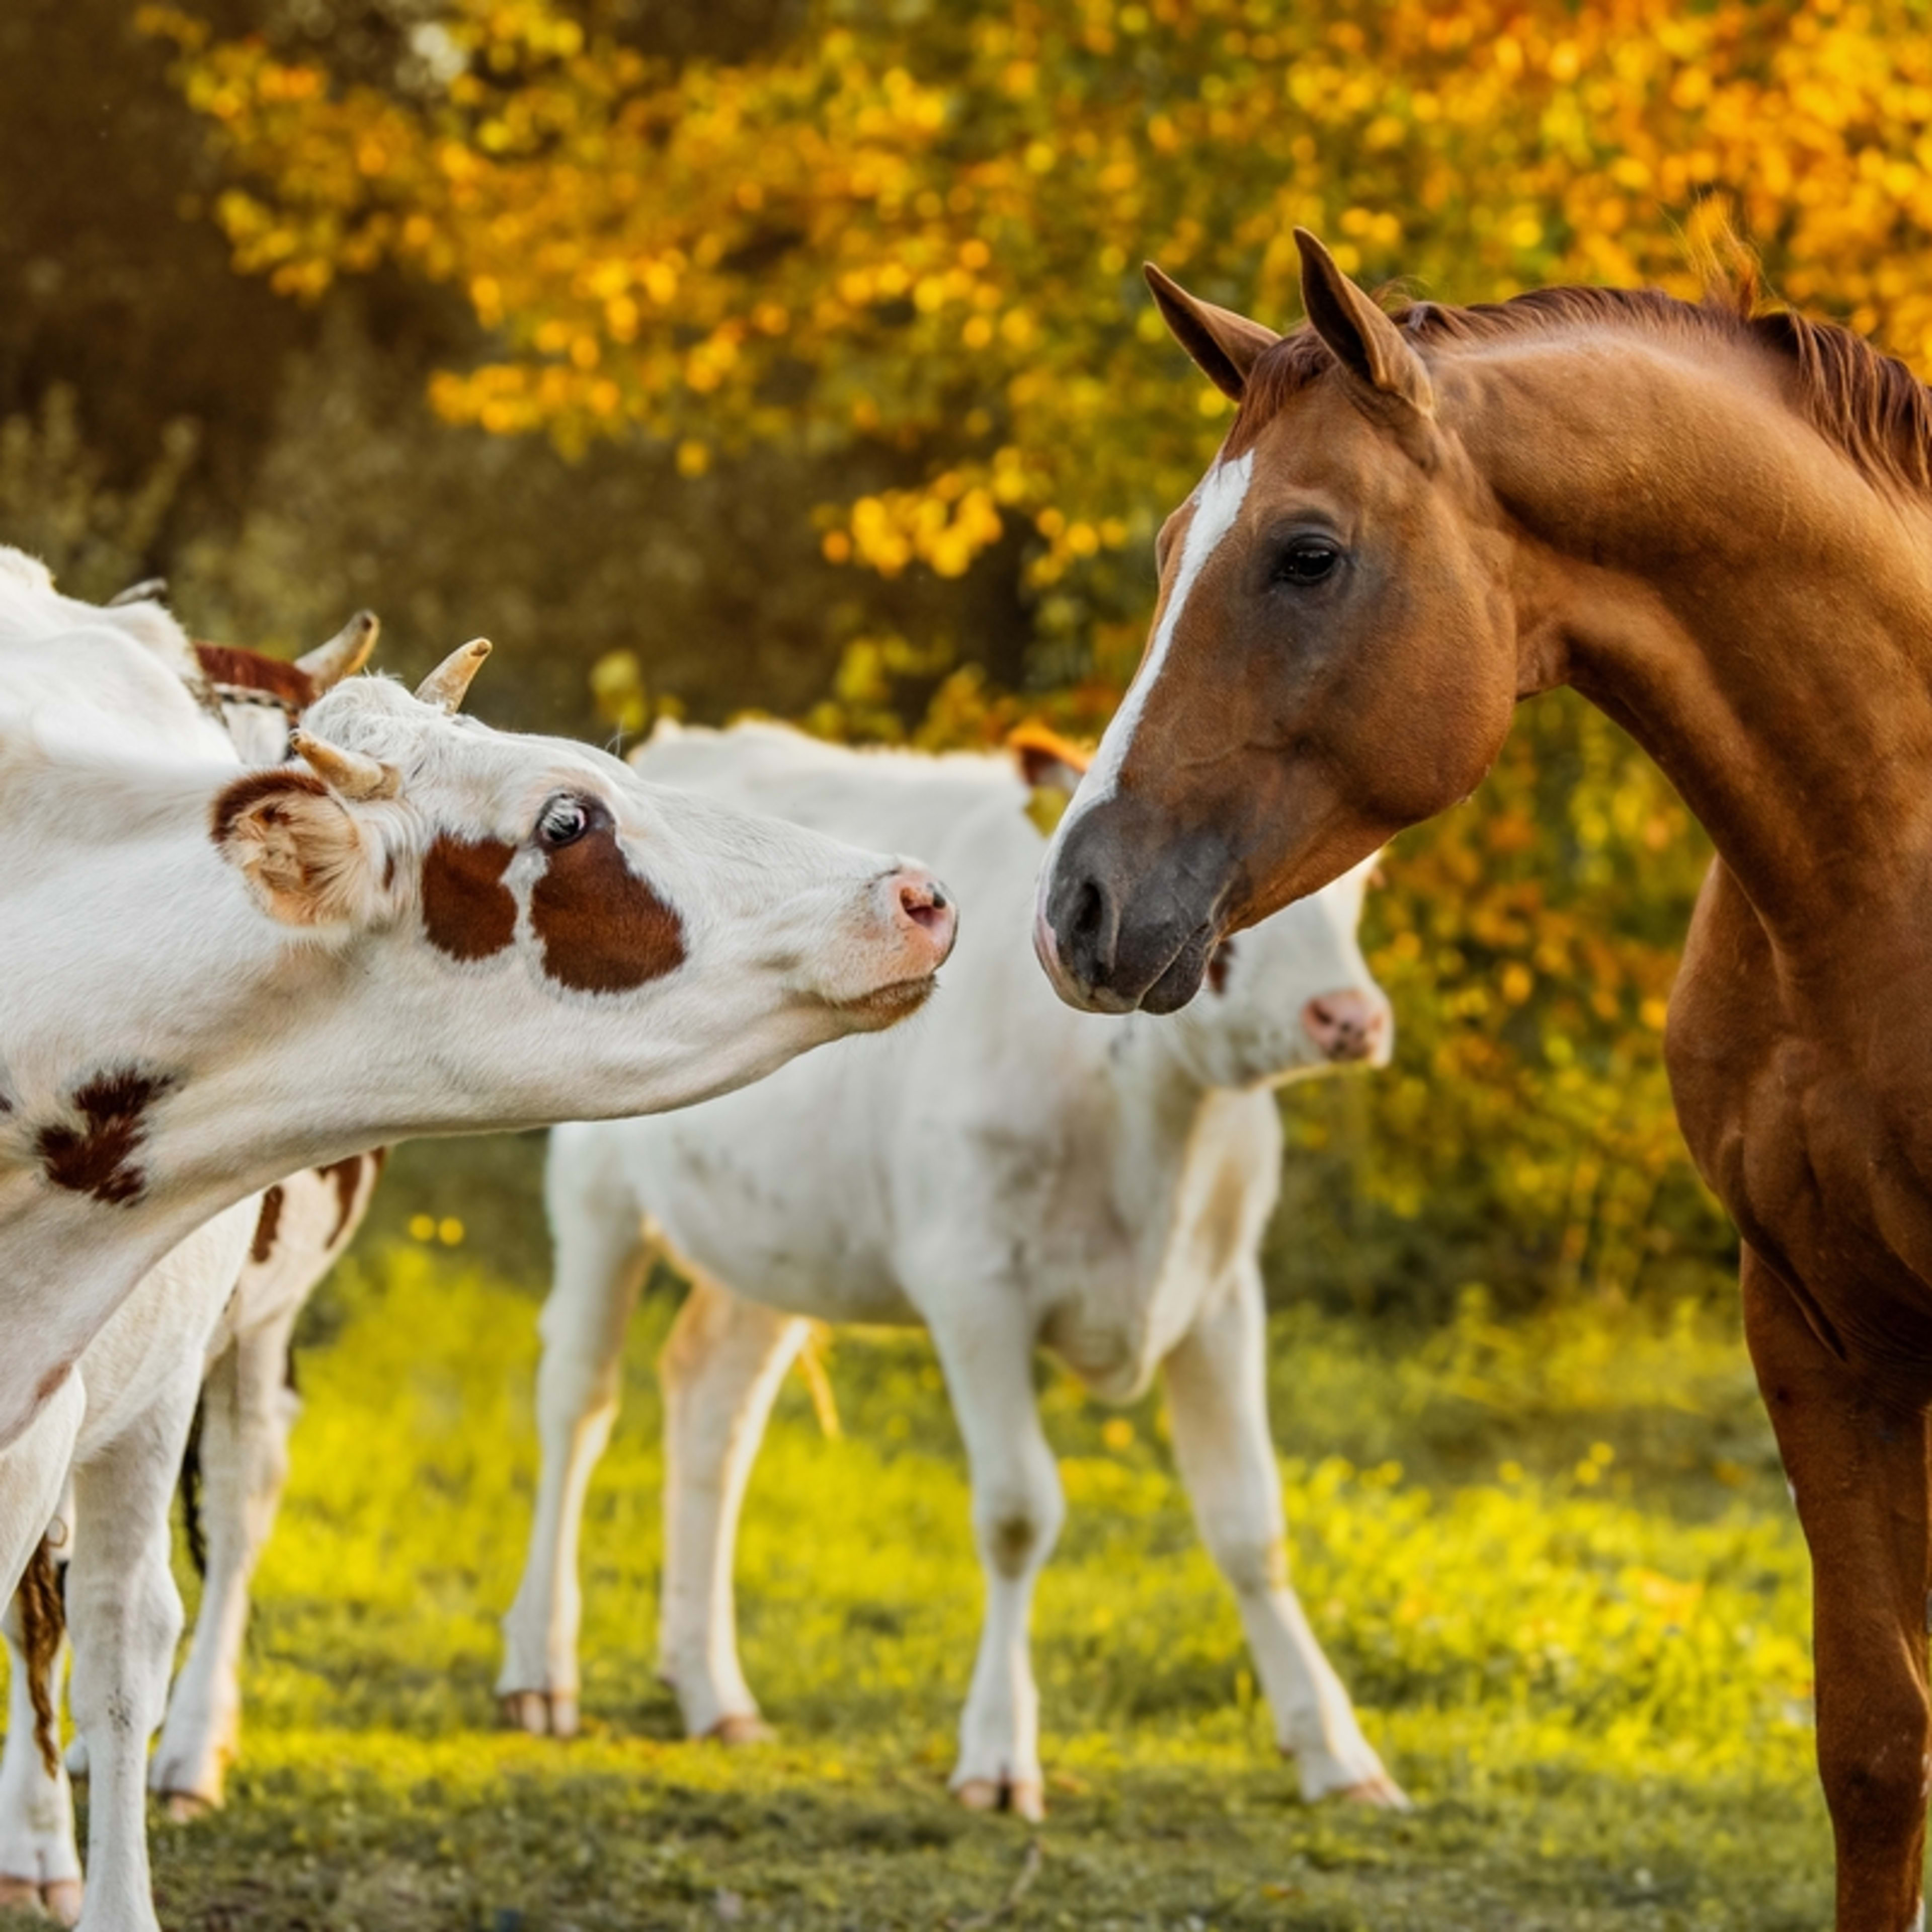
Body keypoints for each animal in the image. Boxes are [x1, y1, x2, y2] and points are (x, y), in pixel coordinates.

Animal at [498, 722, 1405, 1819]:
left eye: (1356, 889)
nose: (1348, 1018)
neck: (1153, 1128)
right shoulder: (976, 1291)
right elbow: (1018, 1515)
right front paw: (1001, 1750)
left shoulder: (1222, 1295)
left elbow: (1251, 1526)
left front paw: (1335, 1750)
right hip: (597, 1197)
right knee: (578, 1404)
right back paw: (541, 1670)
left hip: (776, 1238)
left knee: (714, 1411)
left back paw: (712, 1686)